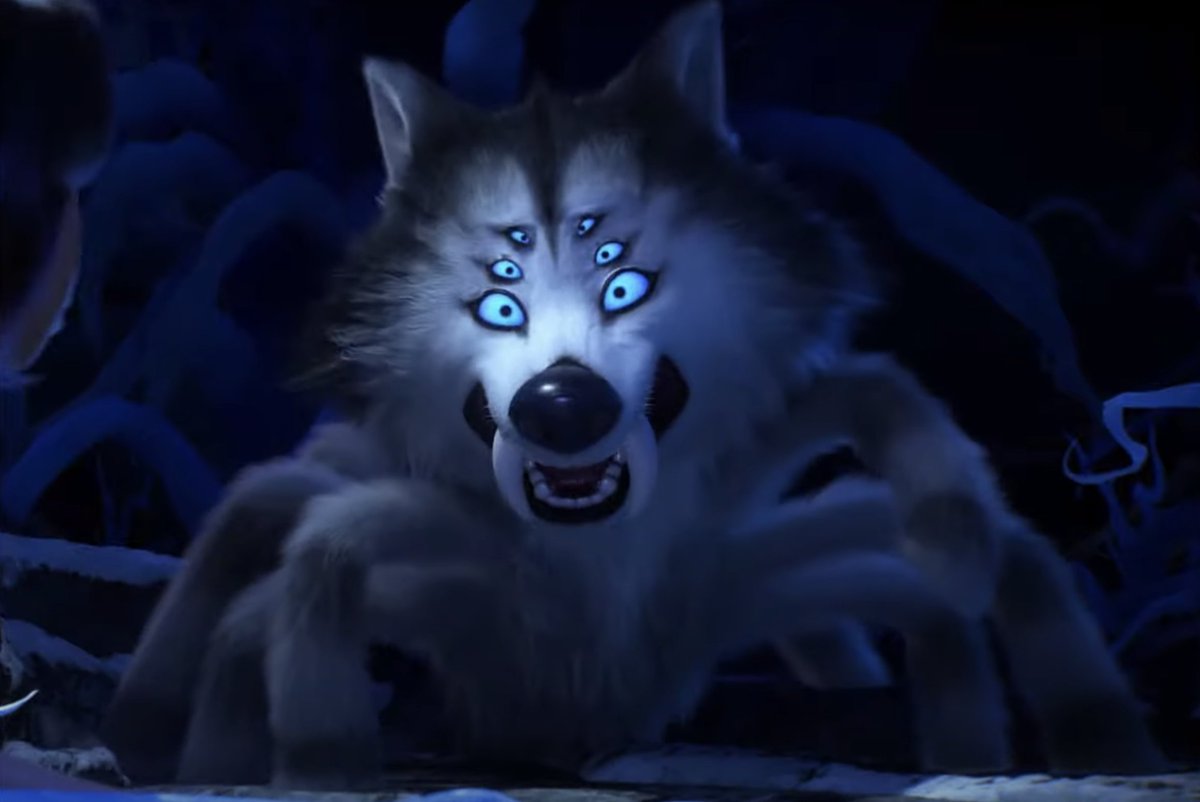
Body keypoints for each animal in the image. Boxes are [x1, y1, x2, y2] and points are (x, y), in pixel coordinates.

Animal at [101, 1, 1165, 789]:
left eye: (625, 283)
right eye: (499, 300)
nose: (562, 402)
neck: (597, 568)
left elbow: (942, 488)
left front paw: (972, 577)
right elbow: (301, 549)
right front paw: (297, 760)